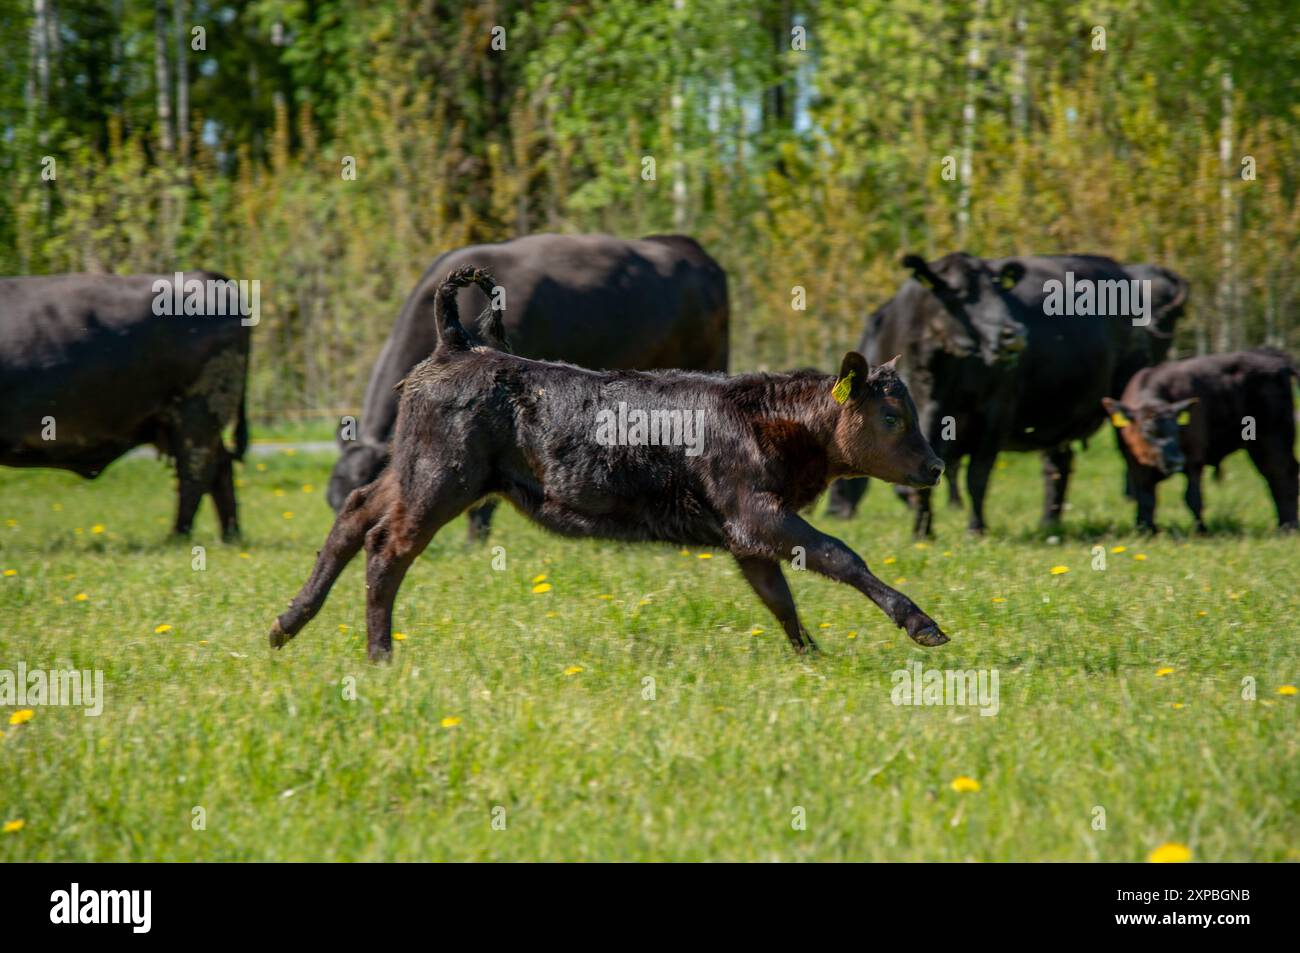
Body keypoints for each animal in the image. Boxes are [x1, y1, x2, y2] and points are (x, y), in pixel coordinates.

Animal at [0, 272, 251, 539]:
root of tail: (205, 276)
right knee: (220, 469)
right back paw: (230, 535)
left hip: (197, 414)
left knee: (195, 473)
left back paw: (177, 537)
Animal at [272, 267, 948, 662]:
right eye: (892, 417)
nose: (937, 466)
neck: (767, 421)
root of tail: (458, 343)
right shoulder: (756, 513)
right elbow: (840, 555)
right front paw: (921, 624)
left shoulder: (746, 534)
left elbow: (778, 596)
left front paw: (811, 656)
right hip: (441, 479)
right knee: (386, 547)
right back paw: (379, 655)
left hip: (412, 470)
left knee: (354, 515)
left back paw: (287, 624)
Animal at [825, 253, 1188, 535]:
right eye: (960, 293)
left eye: (999, 290)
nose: (1013, 334)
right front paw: (922, 532)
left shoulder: (995, 413)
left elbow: (977, 476)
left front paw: (976, 529)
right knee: (1058, 465)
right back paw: (1049, 523)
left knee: (1133, 458)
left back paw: (1144, 524)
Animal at [1103, 348, 1298, 531]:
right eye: (1148, 430)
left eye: (1177, 428)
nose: (1176, 460)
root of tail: (1276, 360)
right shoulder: (1136, 465)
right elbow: (1146, 499)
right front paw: (1146, 529)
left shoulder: (1194, 459)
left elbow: (1193, 497)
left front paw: (1201, 529)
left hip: (1273, 440)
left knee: (1282, 476)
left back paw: (1288, 527)